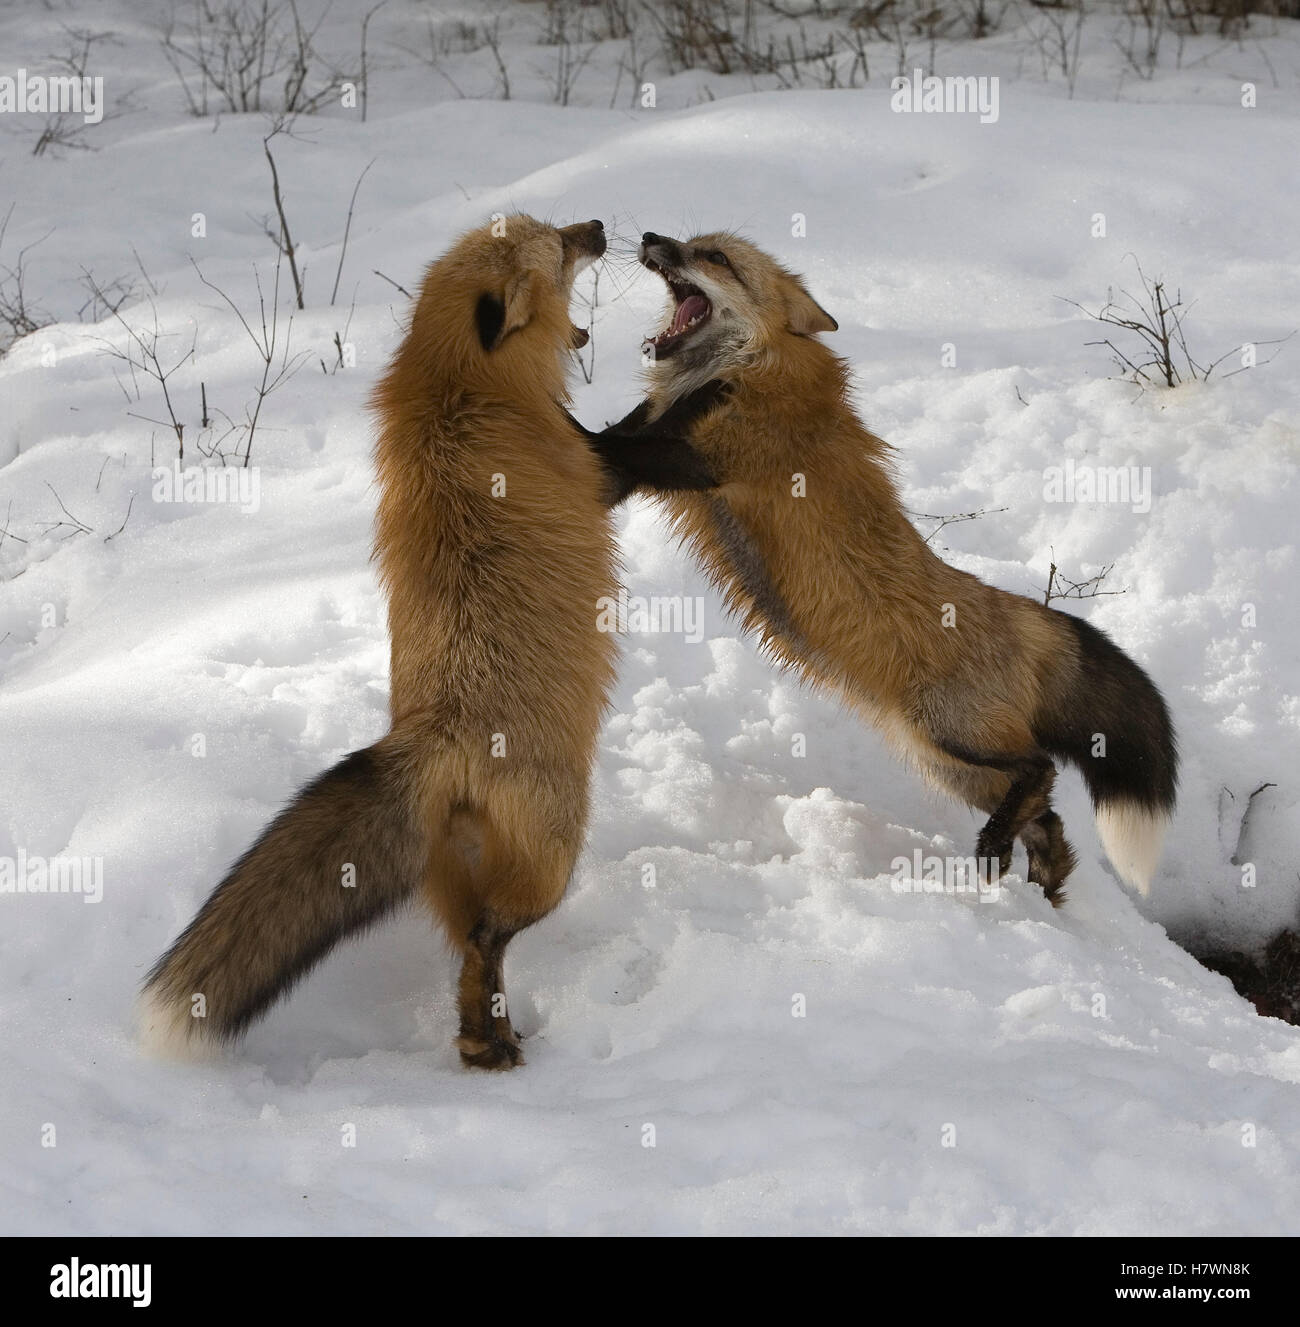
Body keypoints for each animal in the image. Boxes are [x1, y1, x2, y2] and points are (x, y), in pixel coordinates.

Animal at [141, 214, 669, 1071]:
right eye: (559, 249)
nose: (596, 225)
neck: (457, 390)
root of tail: (434, 733)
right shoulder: (598, 464)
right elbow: (634, 443)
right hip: (555, 857)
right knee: (489, 937)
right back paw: (493, 1043)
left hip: (463, 879)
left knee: (473, 959)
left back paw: (486, 1044)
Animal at [596, 229, 1177, 902]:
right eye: (691, 243)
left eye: (716, 258)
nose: (651, 238)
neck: (753, 366)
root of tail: (1021, 611)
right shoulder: (644, 463)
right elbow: (614, 436)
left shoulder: (703, 460)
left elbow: (609, 441)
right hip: (949, 766)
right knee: (1048, 816)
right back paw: (1035, 884)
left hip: (952, 735)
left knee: (1041, 768)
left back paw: (1000, 854)